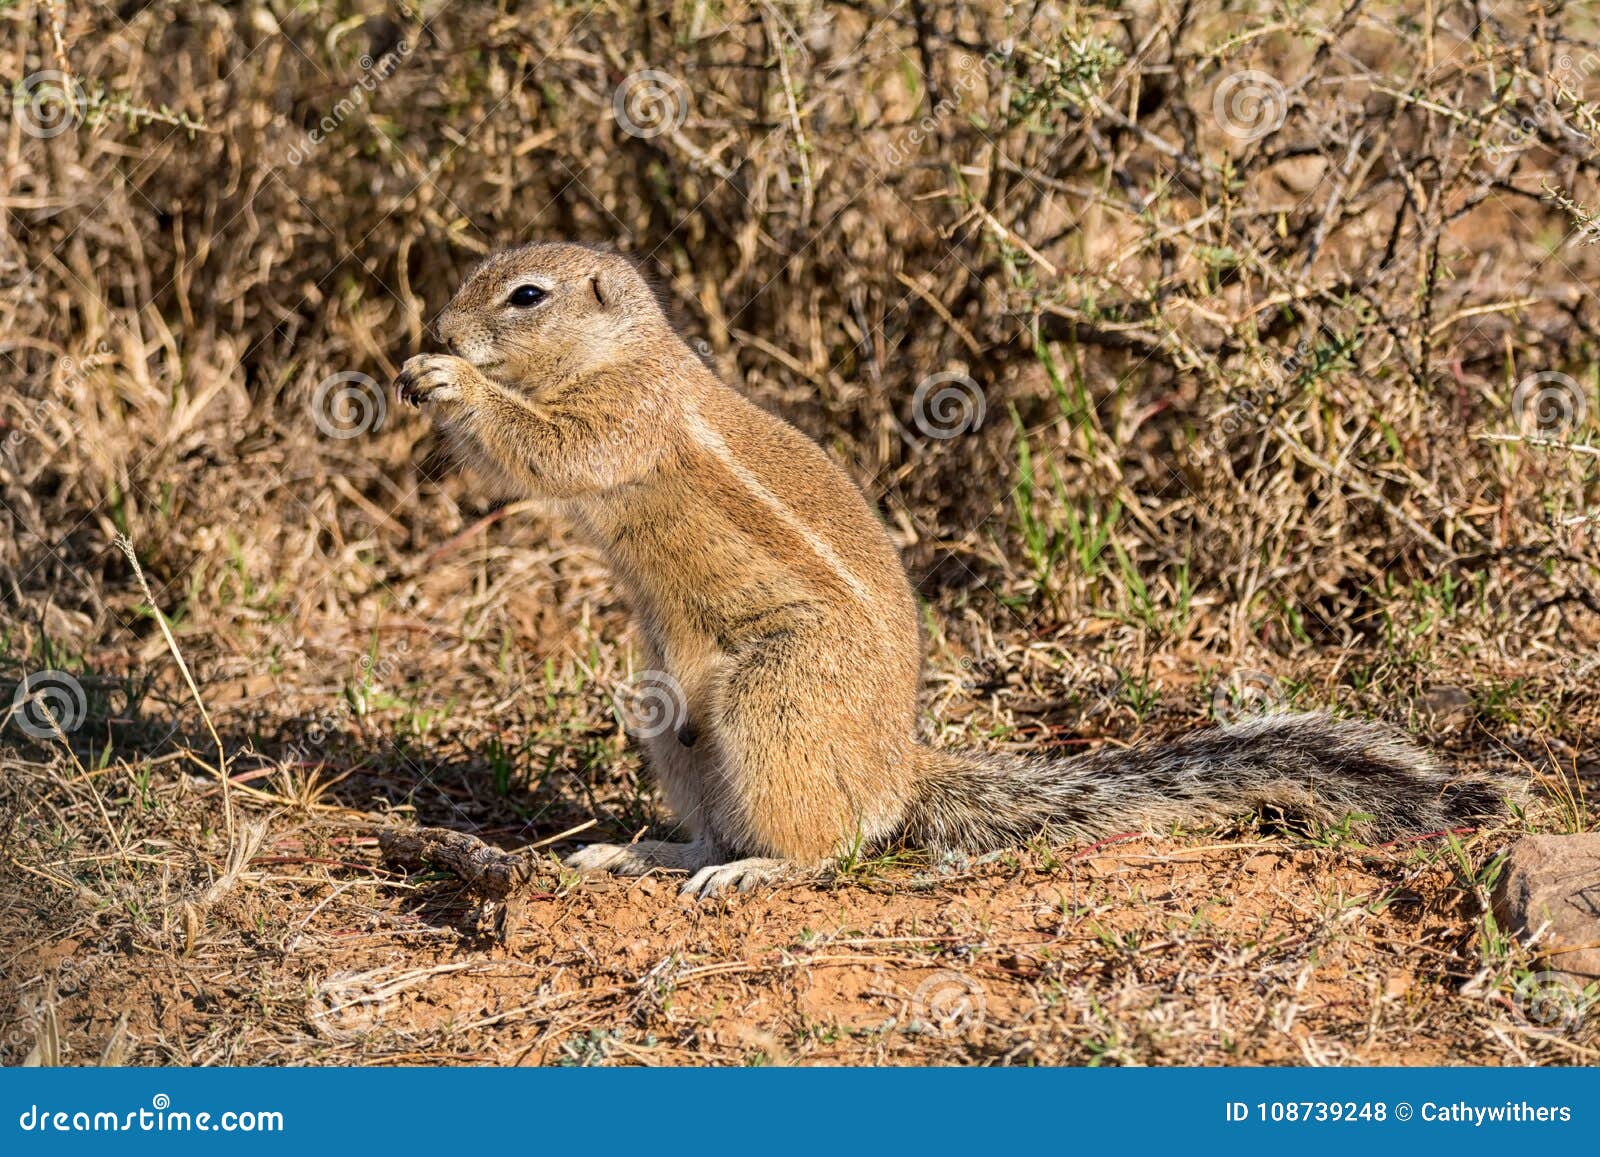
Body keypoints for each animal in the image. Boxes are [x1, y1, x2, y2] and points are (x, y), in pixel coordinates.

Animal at [396, 241, 1511, 897]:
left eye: (526, 296)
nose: (440, 328)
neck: (621, 351)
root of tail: (899, 762)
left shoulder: (622, 419)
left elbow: (548, 448)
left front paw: (454, 380)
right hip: (667, 712)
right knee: (713, 820)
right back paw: (648, 850)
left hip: (773, 699)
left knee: (829, 842)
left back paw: (753, 872)